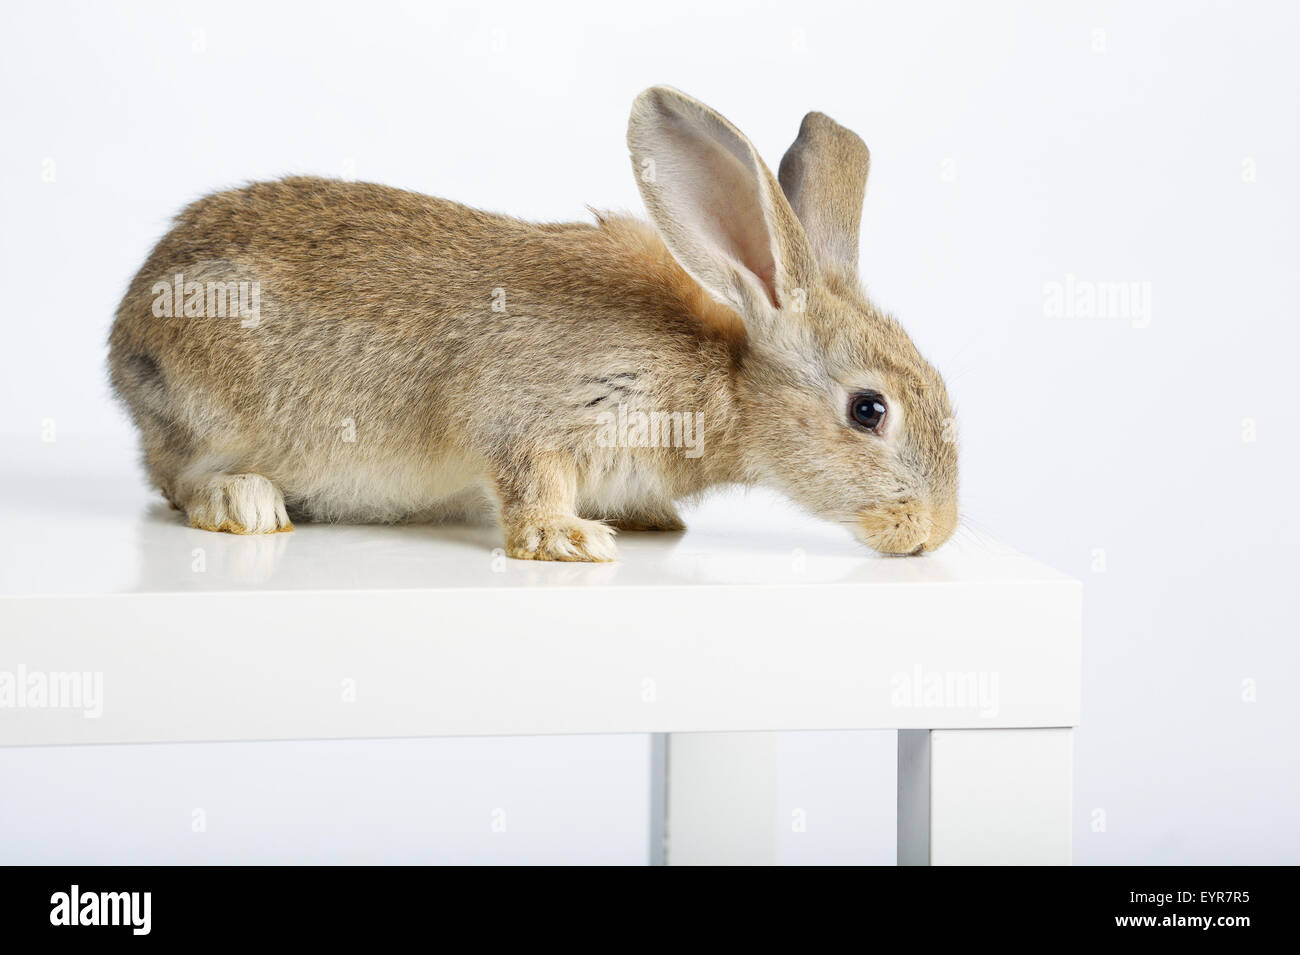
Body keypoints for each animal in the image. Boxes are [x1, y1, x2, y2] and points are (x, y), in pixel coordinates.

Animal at [108, 86, 958, 562]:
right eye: (869, 409)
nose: (937, 531)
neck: (725, 378)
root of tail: (126, 330)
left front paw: (648, 521)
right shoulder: (545, 413)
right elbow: (529, 481)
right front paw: (570, 540)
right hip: (209, 403)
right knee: (176, 480)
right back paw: (246, 504)